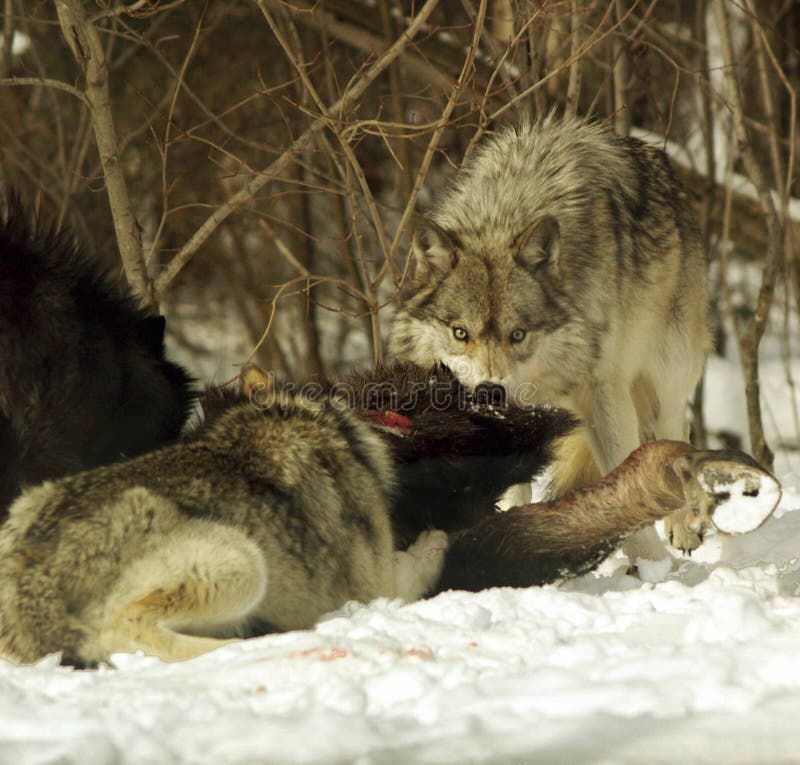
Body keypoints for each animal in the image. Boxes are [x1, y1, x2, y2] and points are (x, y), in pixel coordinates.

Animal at [0, 368, 448, 667]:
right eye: (357, 393)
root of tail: (26, 574)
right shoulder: (374, 588)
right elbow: (413, 565)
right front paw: (432, 543)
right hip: (243, 563)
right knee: (123, 628)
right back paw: (246, 647)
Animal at [389, 115, 711, 563]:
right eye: (460, 333)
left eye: (518, 334)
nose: (490, 391)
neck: (505, 213)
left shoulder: (603, 391)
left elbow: (624, 471)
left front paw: (650, 563)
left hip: (667, 377)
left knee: (676, 434)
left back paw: (681, 533)